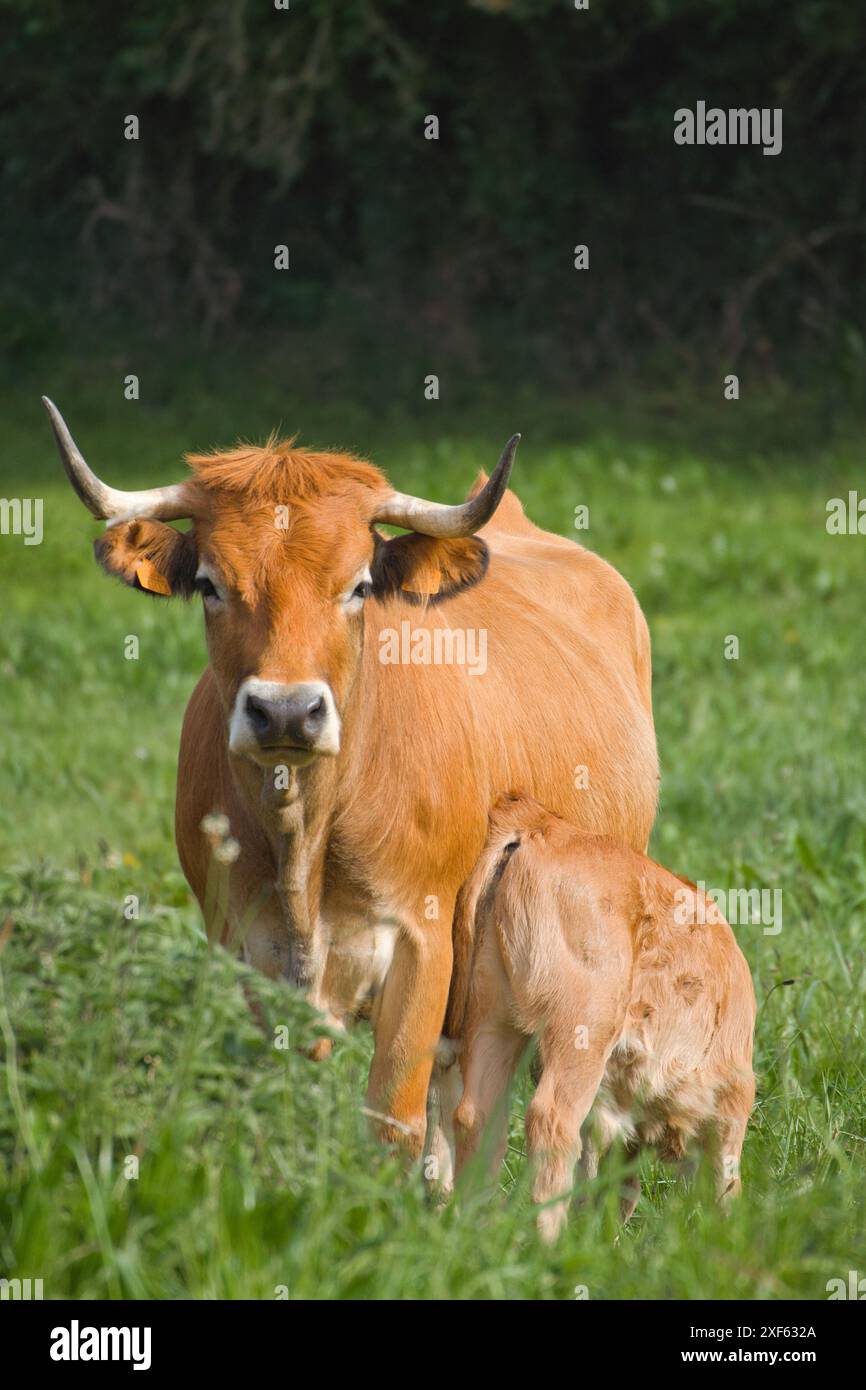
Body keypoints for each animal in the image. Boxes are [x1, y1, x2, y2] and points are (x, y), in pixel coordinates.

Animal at [45, 397, 659, 1168]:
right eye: (210, 584)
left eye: (360, 586)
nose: (285, 710)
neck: (303, 839)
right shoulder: (237, 947)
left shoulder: (423, 950)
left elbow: (393, 1120)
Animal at [449, 793, 756, 1240]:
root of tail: (543, 823)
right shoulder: (732, 1099)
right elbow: (724, 1183)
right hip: (581, 1028)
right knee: (551, 1121)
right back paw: (549, 1242)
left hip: (491, 1018)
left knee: (478, 1118)